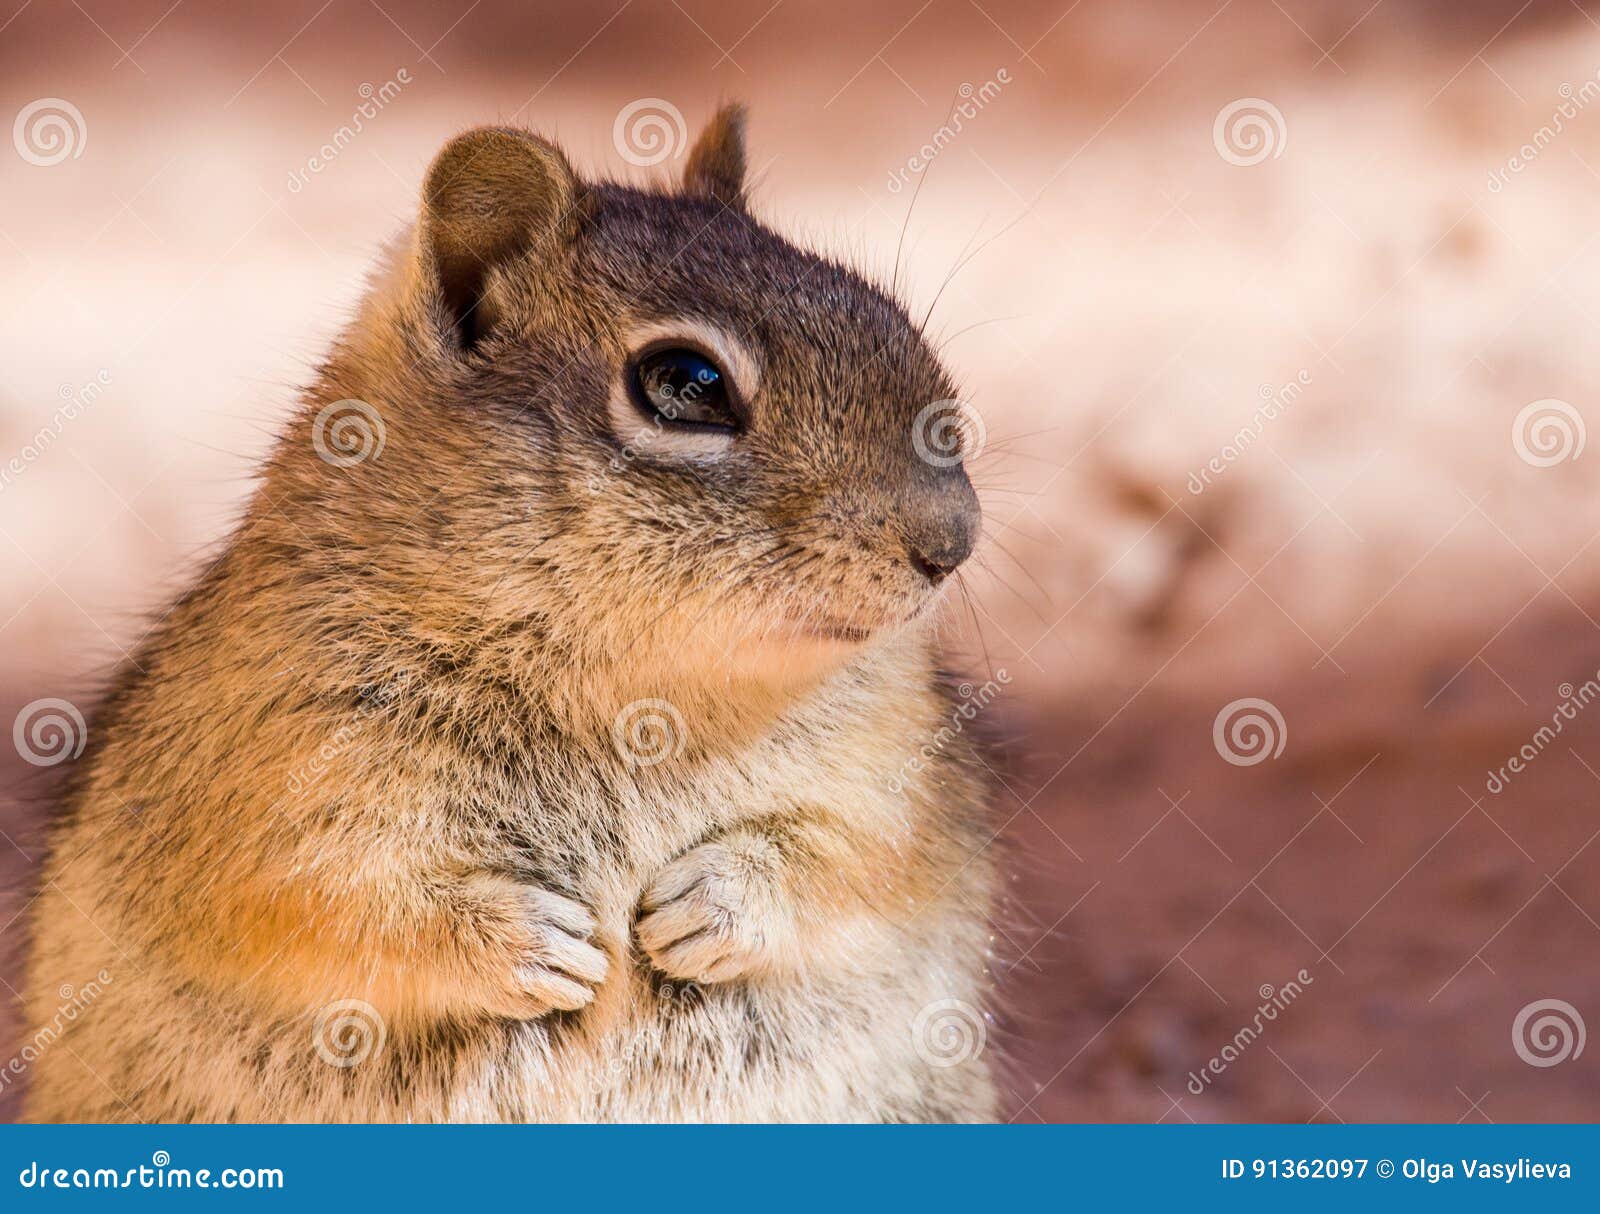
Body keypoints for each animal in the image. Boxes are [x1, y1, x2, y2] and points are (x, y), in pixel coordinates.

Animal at [22, 103, 1000, 1122]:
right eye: (686, 383)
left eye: (890, 315)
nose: (952, 541)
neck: (640, 693)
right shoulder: (269, 780)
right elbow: (324, 901)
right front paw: (529, 941)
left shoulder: (901, 770)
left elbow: (861, 860)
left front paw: (713, 904)